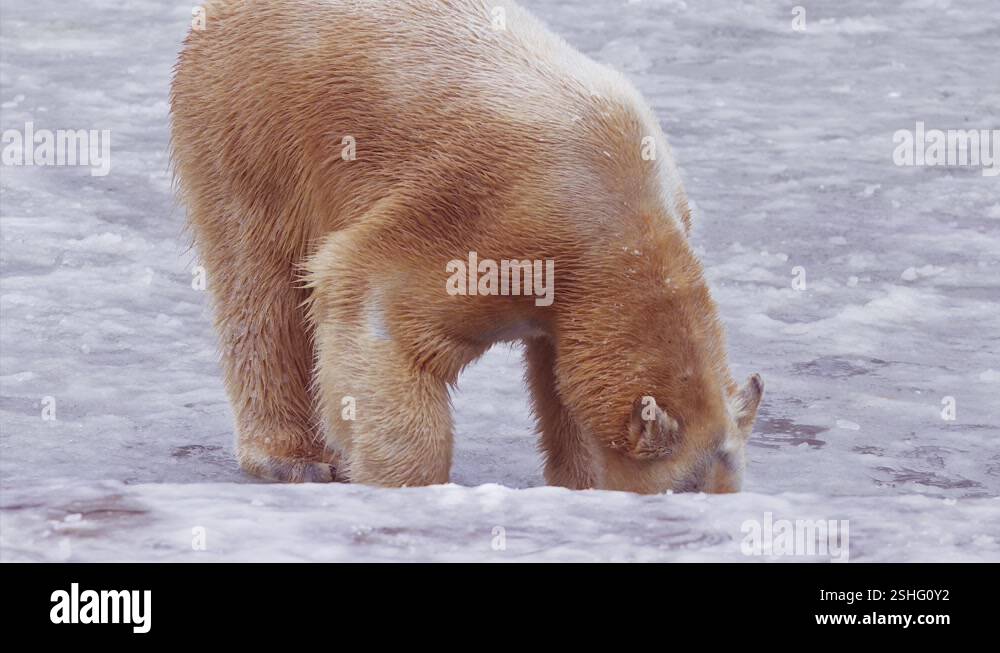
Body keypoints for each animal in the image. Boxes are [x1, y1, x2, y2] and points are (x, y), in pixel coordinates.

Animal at [170, 0, 764, 493]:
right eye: (680, 490)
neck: (619, 209)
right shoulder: (491, 218)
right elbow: (372, 301)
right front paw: (402, 481)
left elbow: (562, 380)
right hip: (254, 123)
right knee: (259, 279)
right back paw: (294, 459)